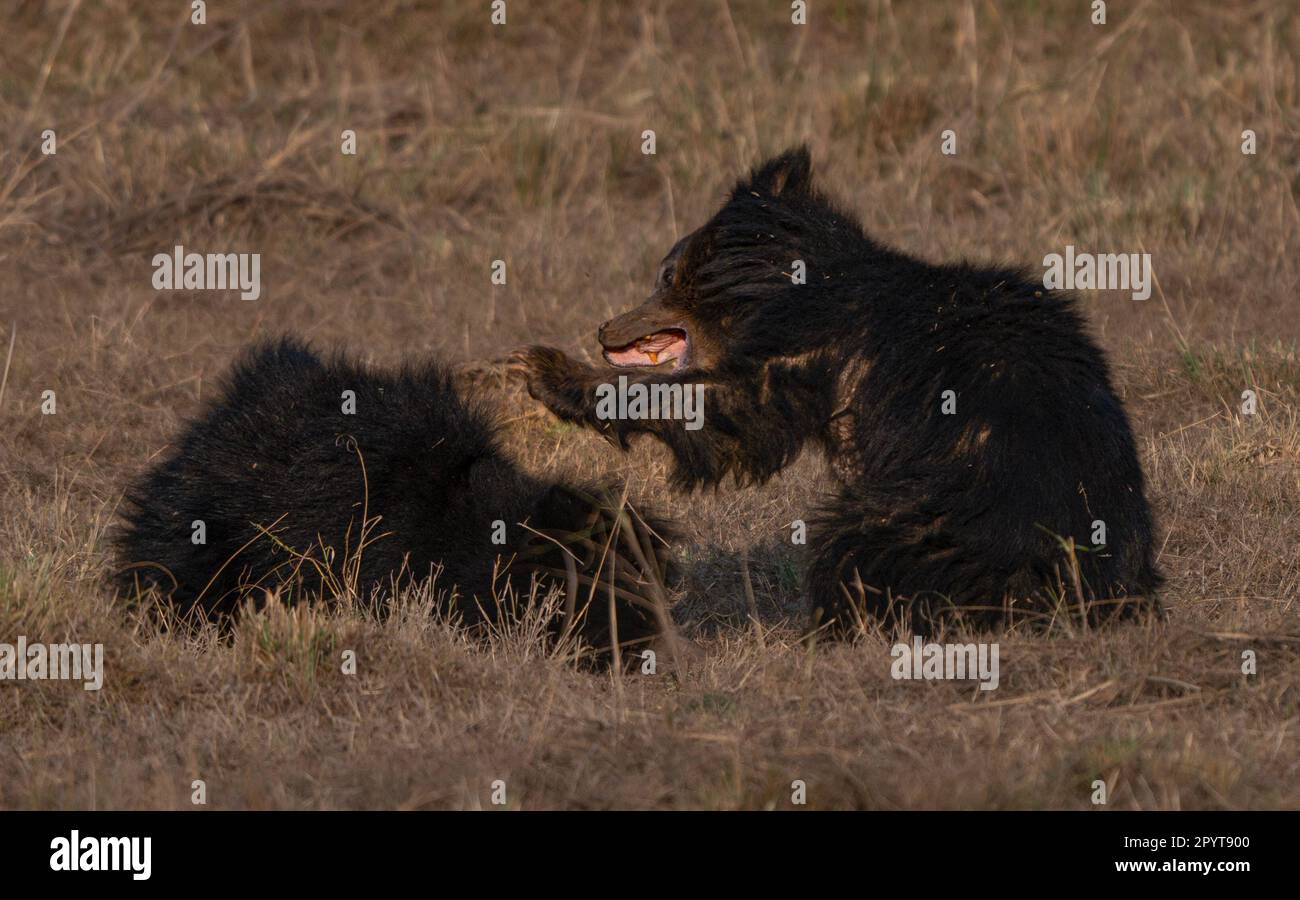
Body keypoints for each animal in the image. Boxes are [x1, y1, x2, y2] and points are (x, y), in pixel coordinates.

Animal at [513, 146, 1163, 636]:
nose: (604, 328)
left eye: (665, 276)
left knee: (847, 545)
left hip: (934, 519)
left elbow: (729, 410)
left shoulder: (818, 346)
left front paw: (544, 369)